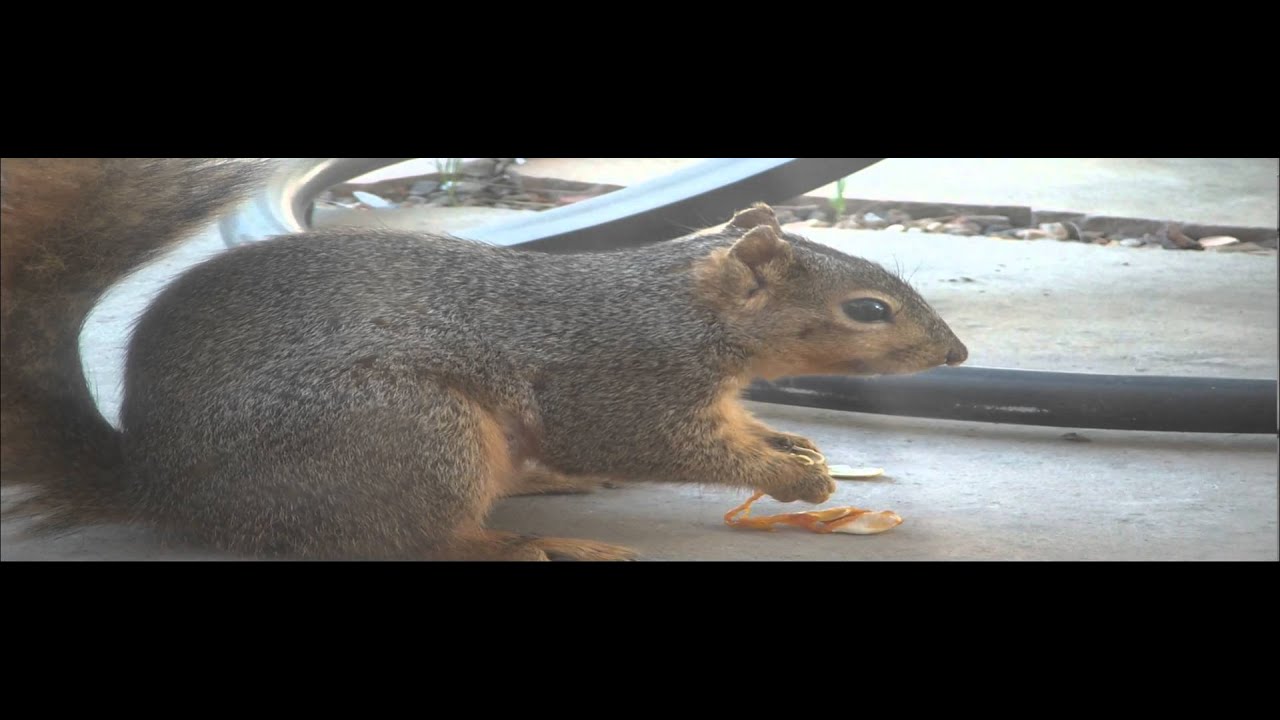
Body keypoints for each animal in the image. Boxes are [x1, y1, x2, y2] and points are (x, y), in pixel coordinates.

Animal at [1, 157, 968, 560]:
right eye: (868, 309)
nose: (956, 351)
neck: (685, 309)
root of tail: (156, 486)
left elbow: (739, 427)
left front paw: (792, 446)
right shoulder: (622, 379)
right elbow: (647, 441)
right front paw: (794, 476)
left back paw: (548, 491)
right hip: (406, 435)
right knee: (420, 542)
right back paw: (535, 543)